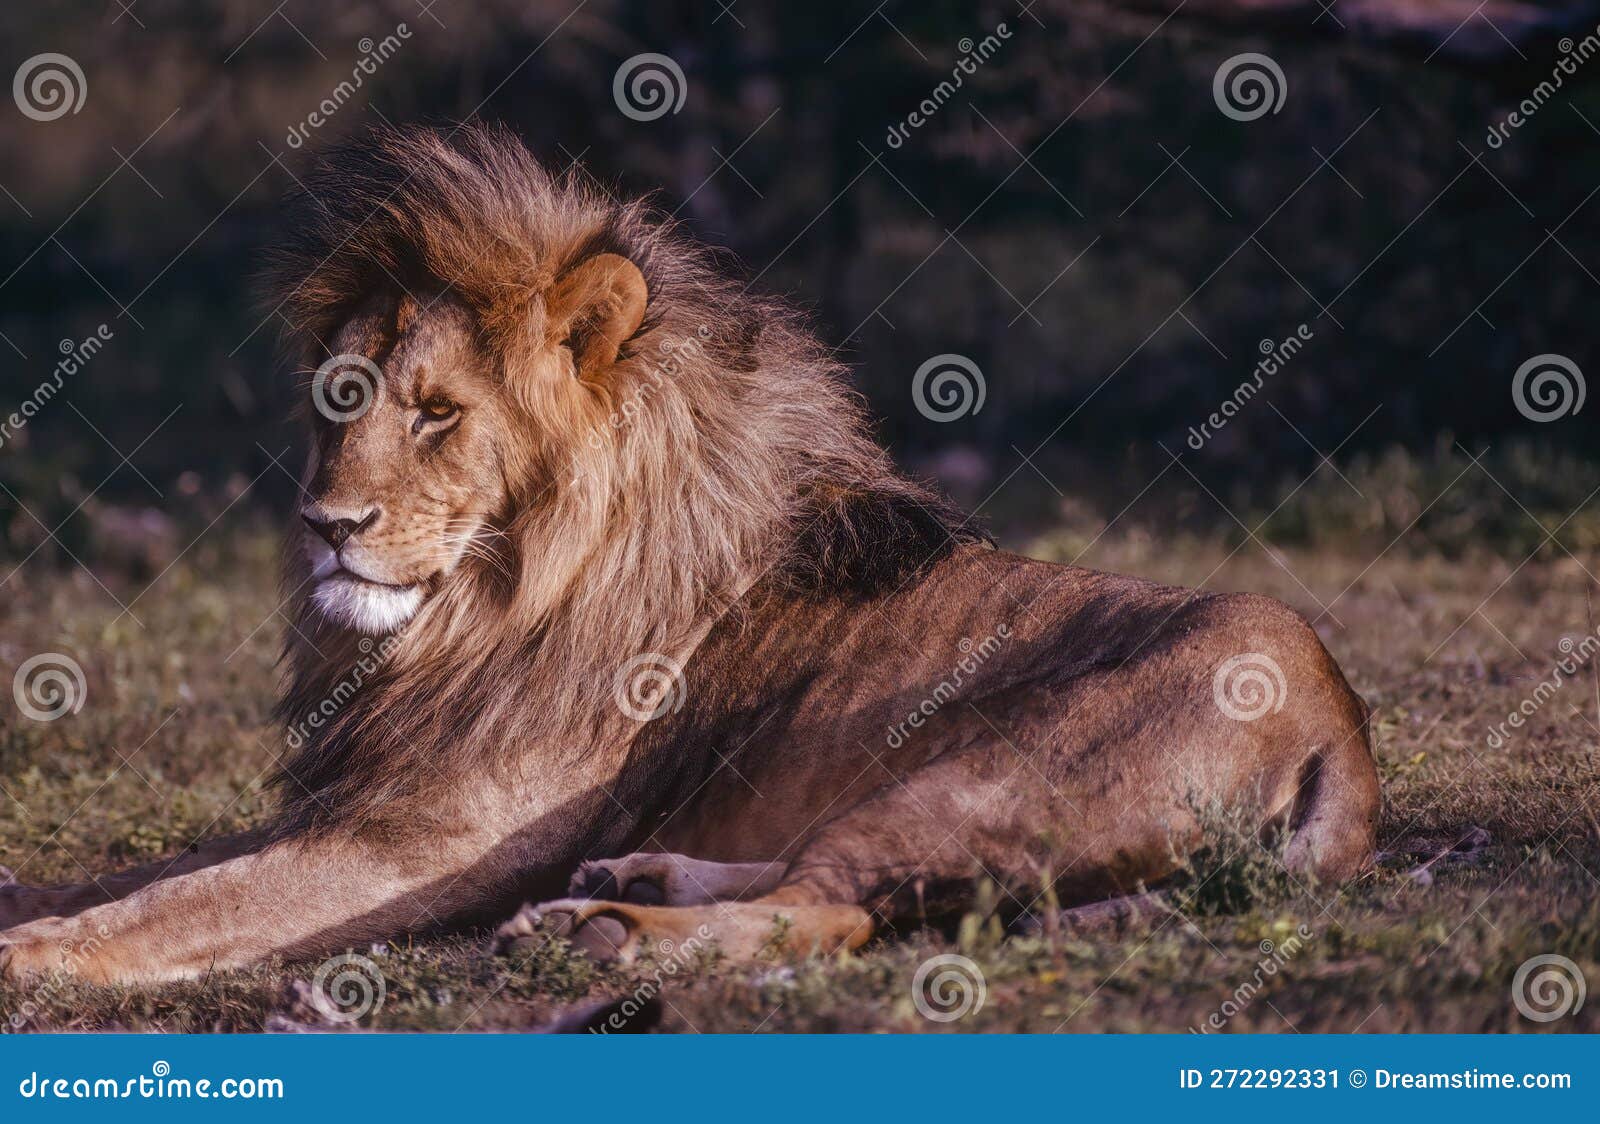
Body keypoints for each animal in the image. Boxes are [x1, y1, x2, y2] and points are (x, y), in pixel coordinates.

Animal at [0, 123, 1379, 985]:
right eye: (340, 397)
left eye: (437, 412)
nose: (325, 524)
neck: (480, 607)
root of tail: (1342, 725)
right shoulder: (360, 800)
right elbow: (148, 872)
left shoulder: (427, 836)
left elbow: (186, 900)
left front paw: (37, 958)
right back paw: (633, 871)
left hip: (980, 771)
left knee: (828, 911)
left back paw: (605, 929)